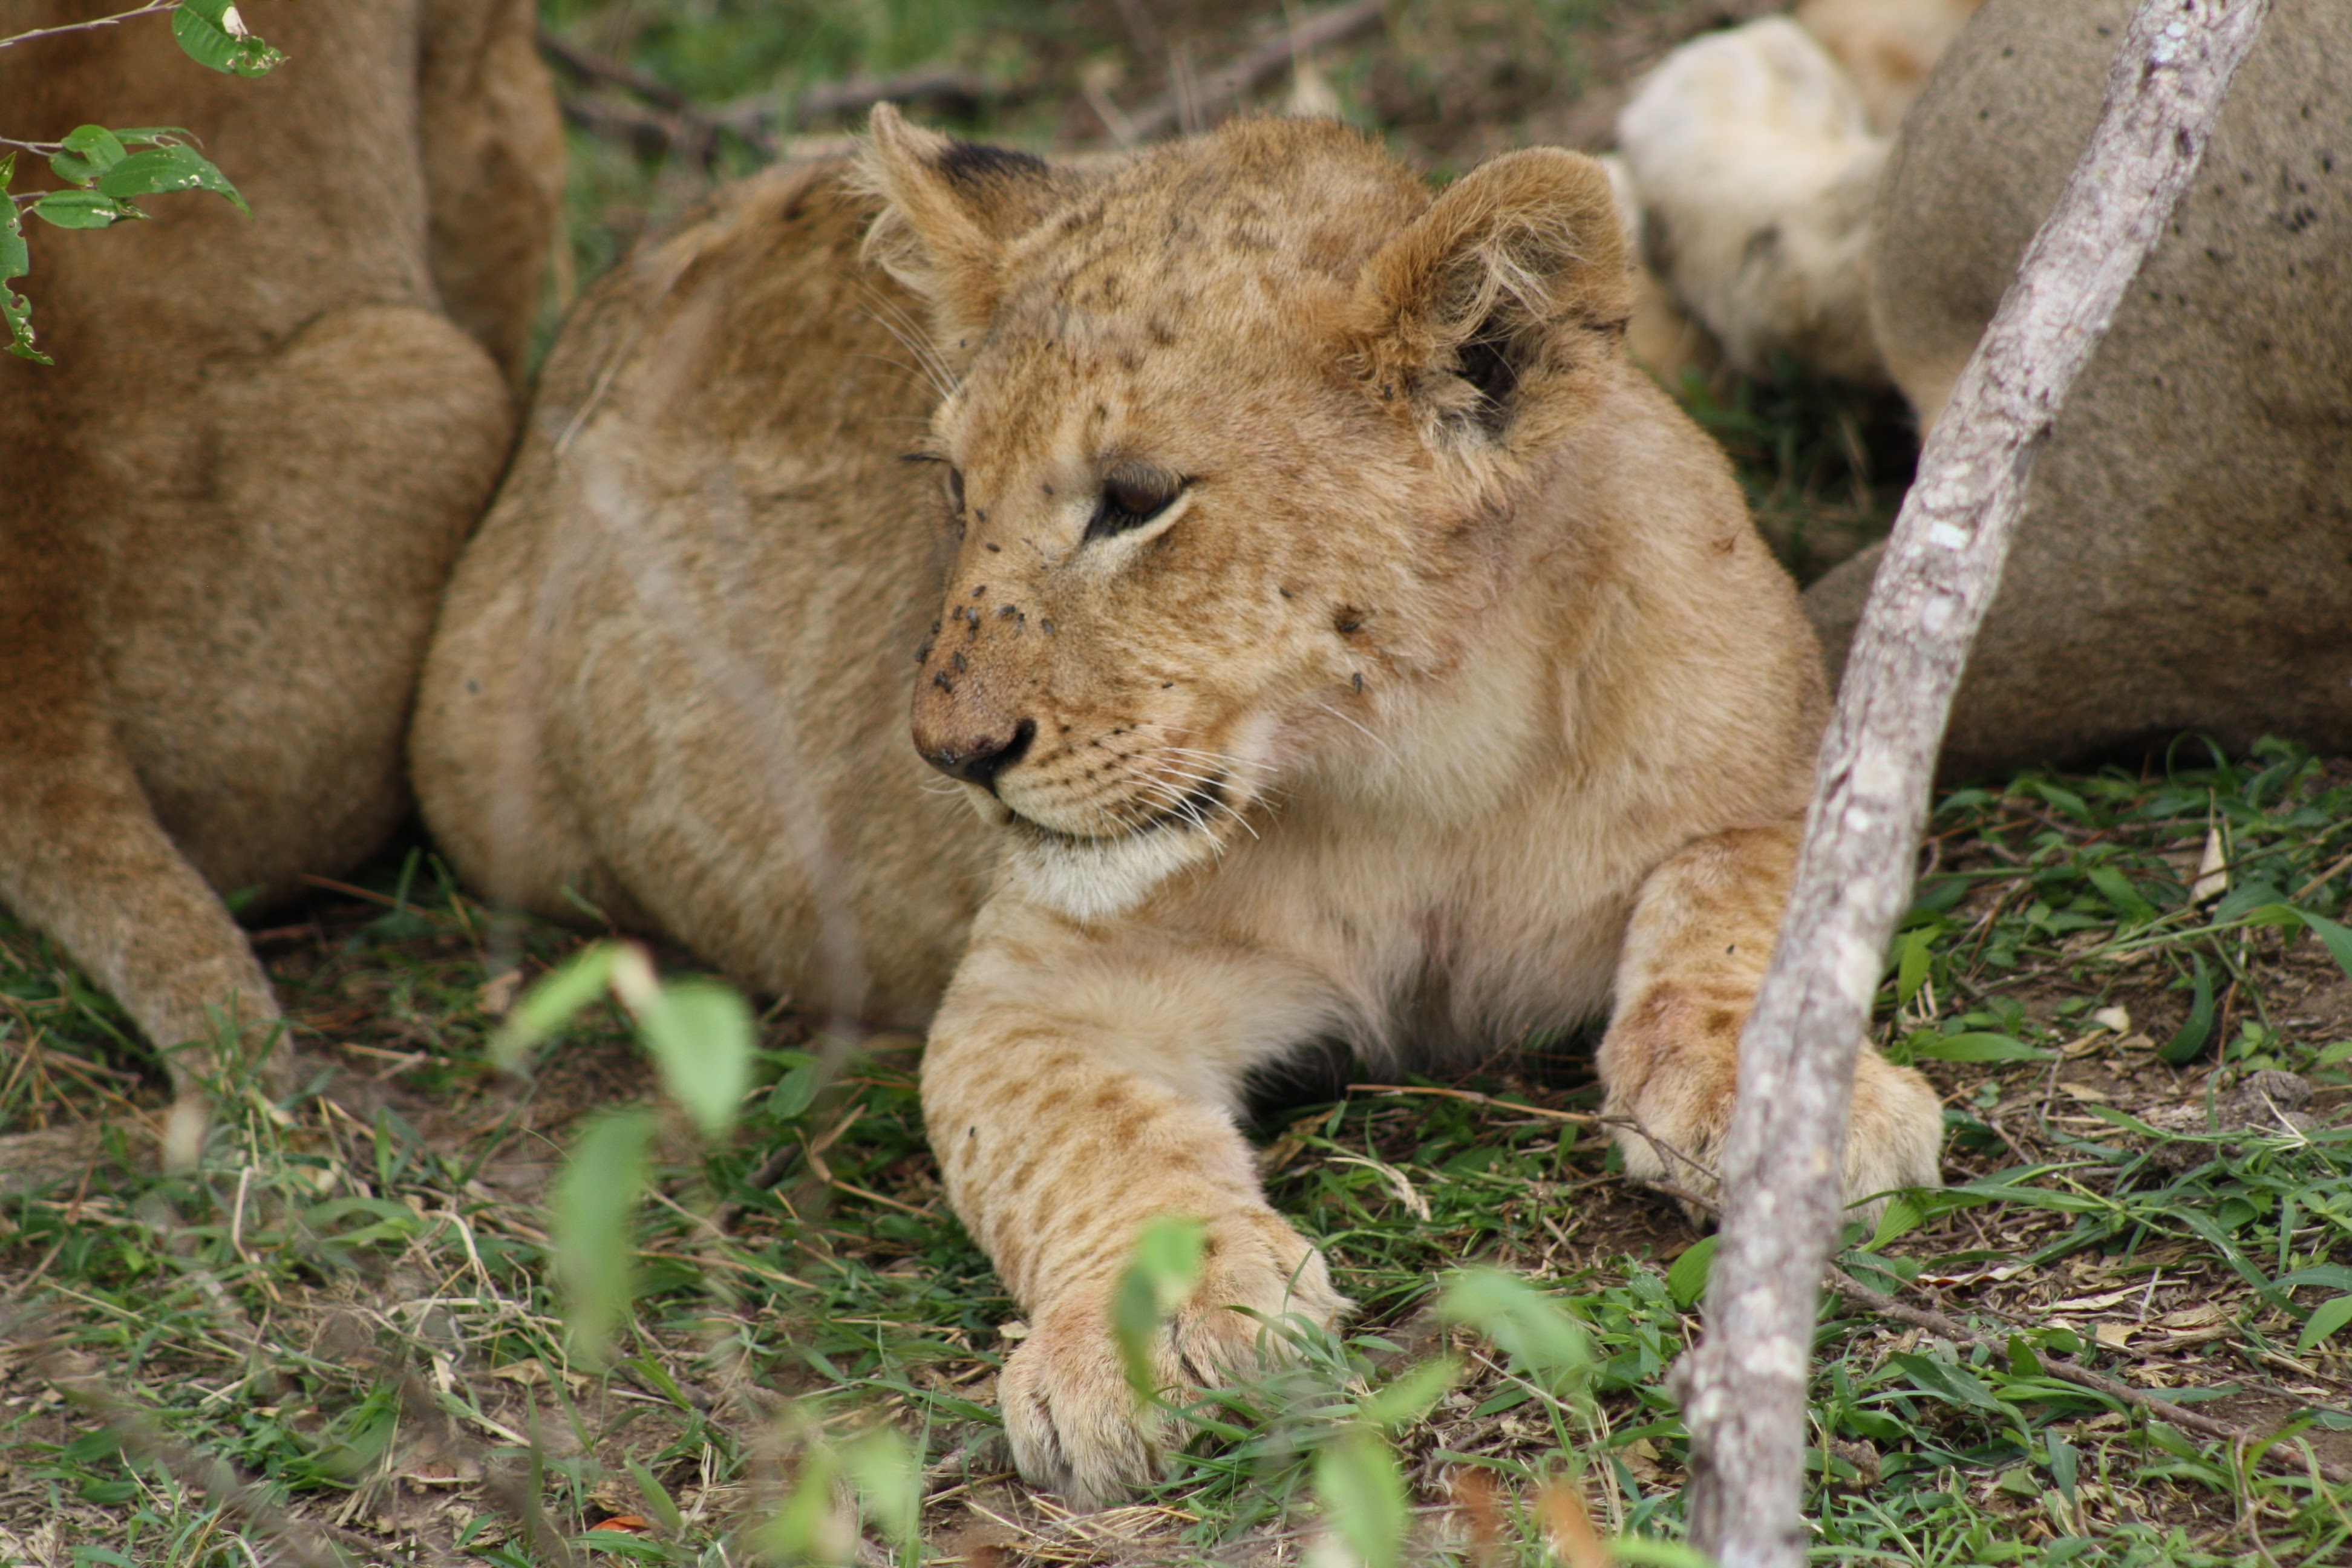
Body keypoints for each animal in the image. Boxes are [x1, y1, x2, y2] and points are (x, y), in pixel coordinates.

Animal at [412, 108, 1944, 1506]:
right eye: (952, 487)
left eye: (1135, 500)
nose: (949, 751)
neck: (1419, 767)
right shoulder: (1033, 993)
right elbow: (1087, 1136)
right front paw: (1161, 1326)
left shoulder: (1793, 770)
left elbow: (1739, 898)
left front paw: (1767, 1093)